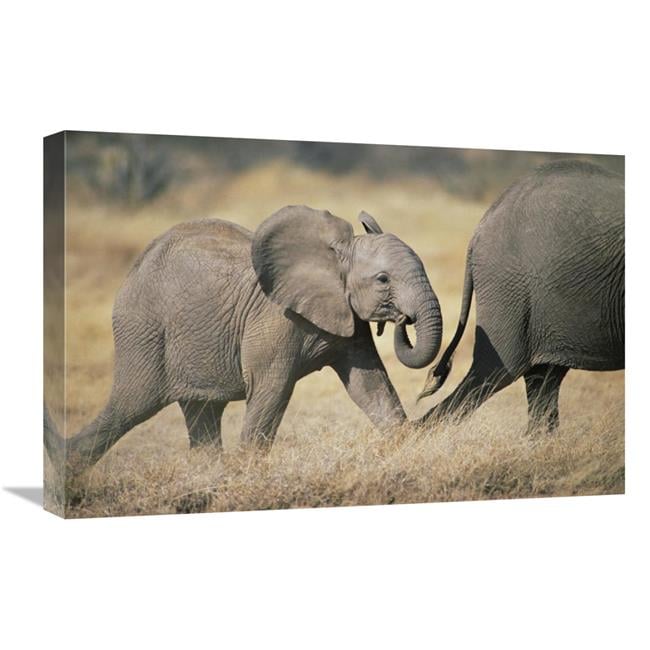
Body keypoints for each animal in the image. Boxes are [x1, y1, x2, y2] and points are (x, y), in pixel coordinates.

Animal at [45, 205, 442, 472]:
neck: (335, 255)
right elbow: (272, 390)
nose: (404, 320)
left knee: (200, 410)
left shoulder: (347, 318)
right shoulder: (276, 319)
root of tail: (132, 273)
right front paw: (248, 475)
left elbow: (369, 385)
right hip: (143, 330)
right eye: (383, 280)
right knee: (131, 404)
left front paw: (408, 451)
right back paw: (67, 473)